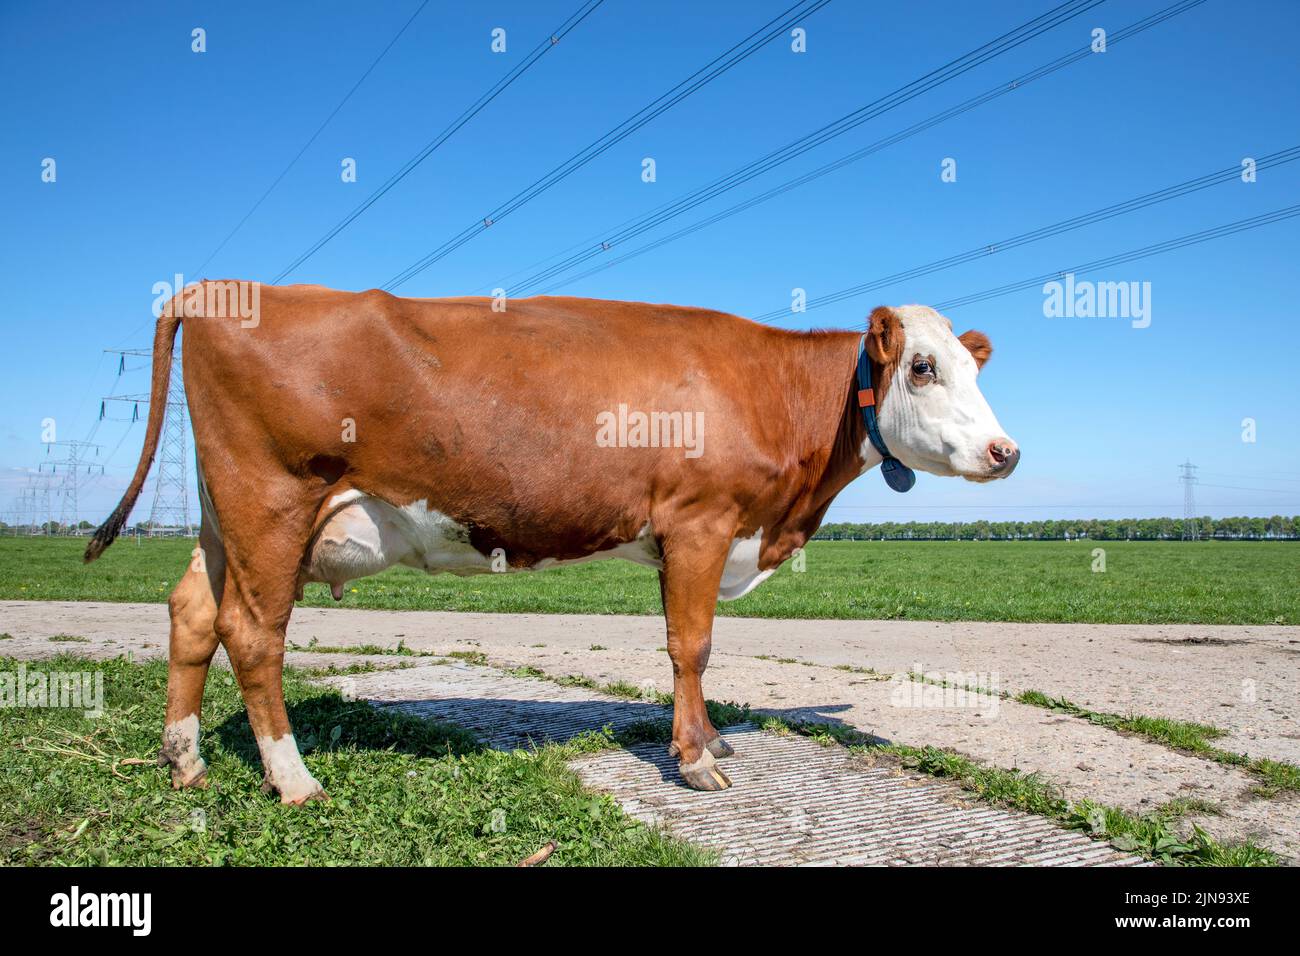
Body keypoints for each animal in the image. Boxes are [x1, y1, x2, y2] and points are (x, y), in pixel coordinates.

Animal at [85, 285, 1019, 802]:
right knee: (253, 633)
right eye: (923, 368)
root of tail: (225, 288)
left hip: (224, 517)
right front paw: (697, 761)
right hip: (272, 501)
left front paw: (709, 740)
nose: (1007, 452)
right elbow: (692, 645)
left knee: (193, 613)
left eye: (977, 369)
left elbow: (692, 649)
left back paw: (185, 761)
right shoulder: (700, 522)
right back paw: (294, 779)